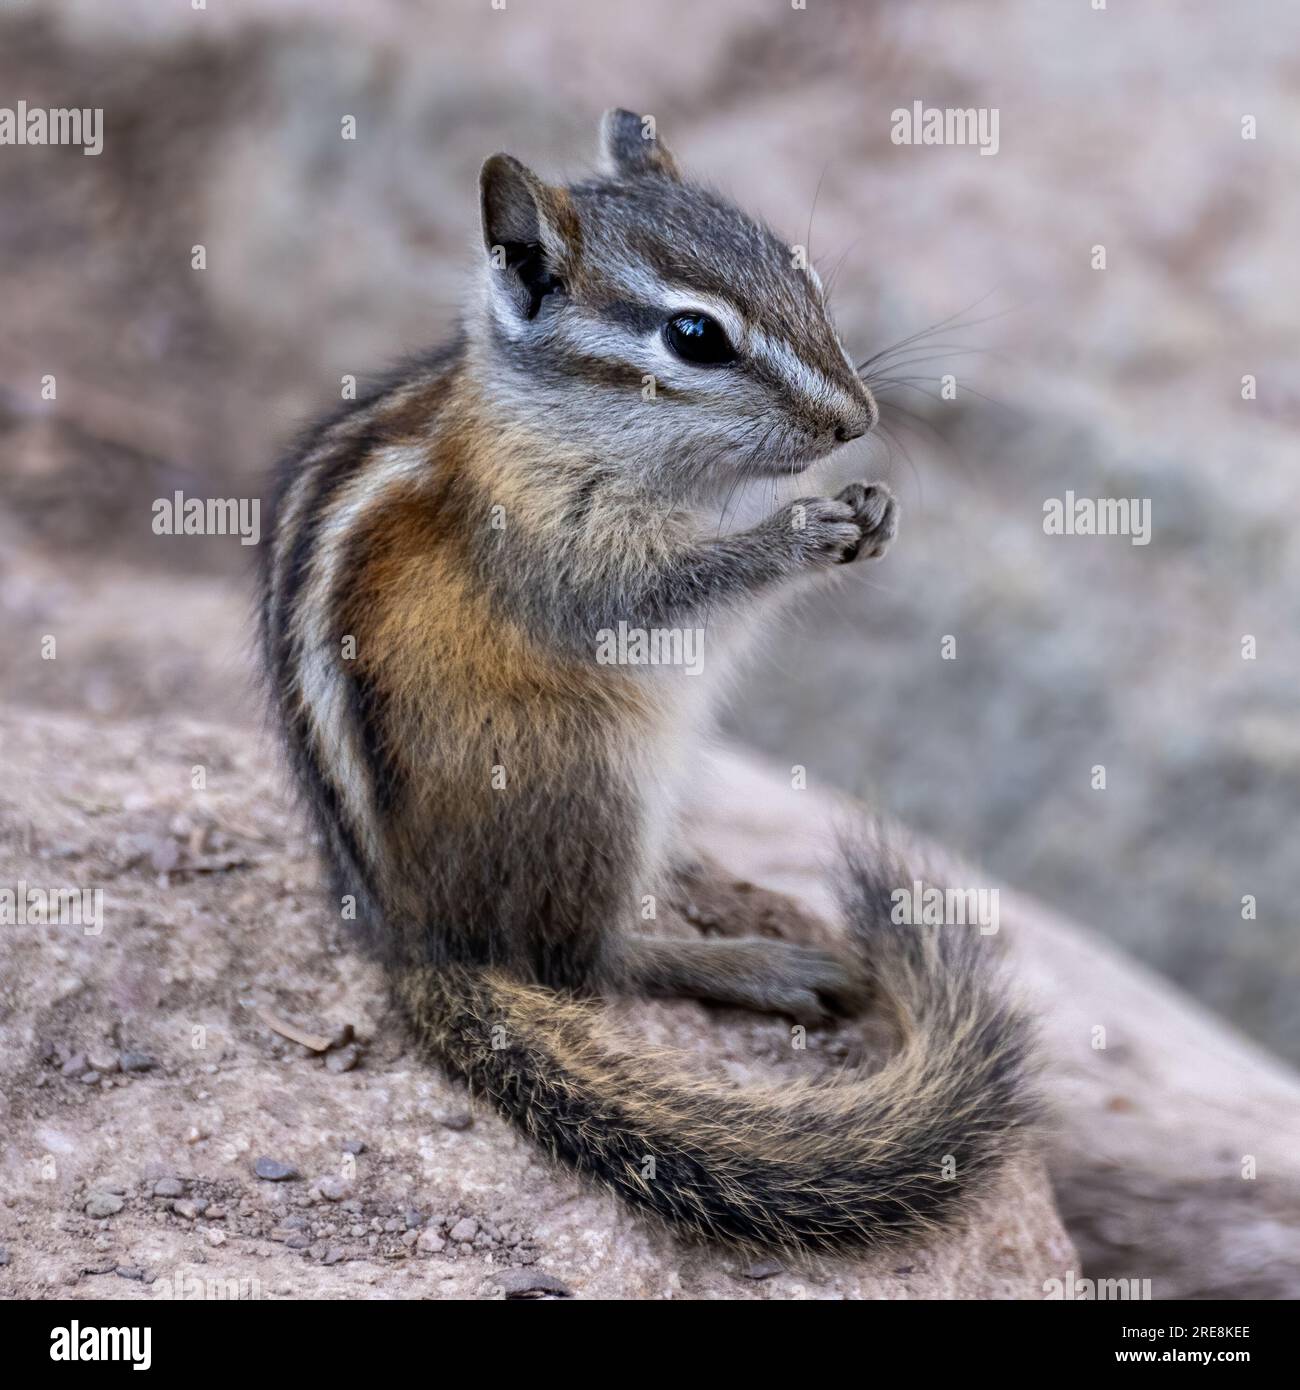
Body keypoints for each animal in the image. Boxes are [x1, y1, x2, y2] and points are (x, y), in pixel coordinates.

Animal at [259, 109, 1035, 1254]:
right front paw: (795, 532)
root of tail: (414, 937)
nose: (853, 422)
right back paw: (754, 964)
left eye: (804, 273)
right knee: (580, 961)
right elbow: (651, 593)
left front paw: (873, 508)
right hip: (591, 786)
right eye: (695, 337)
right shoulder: (555, 546)